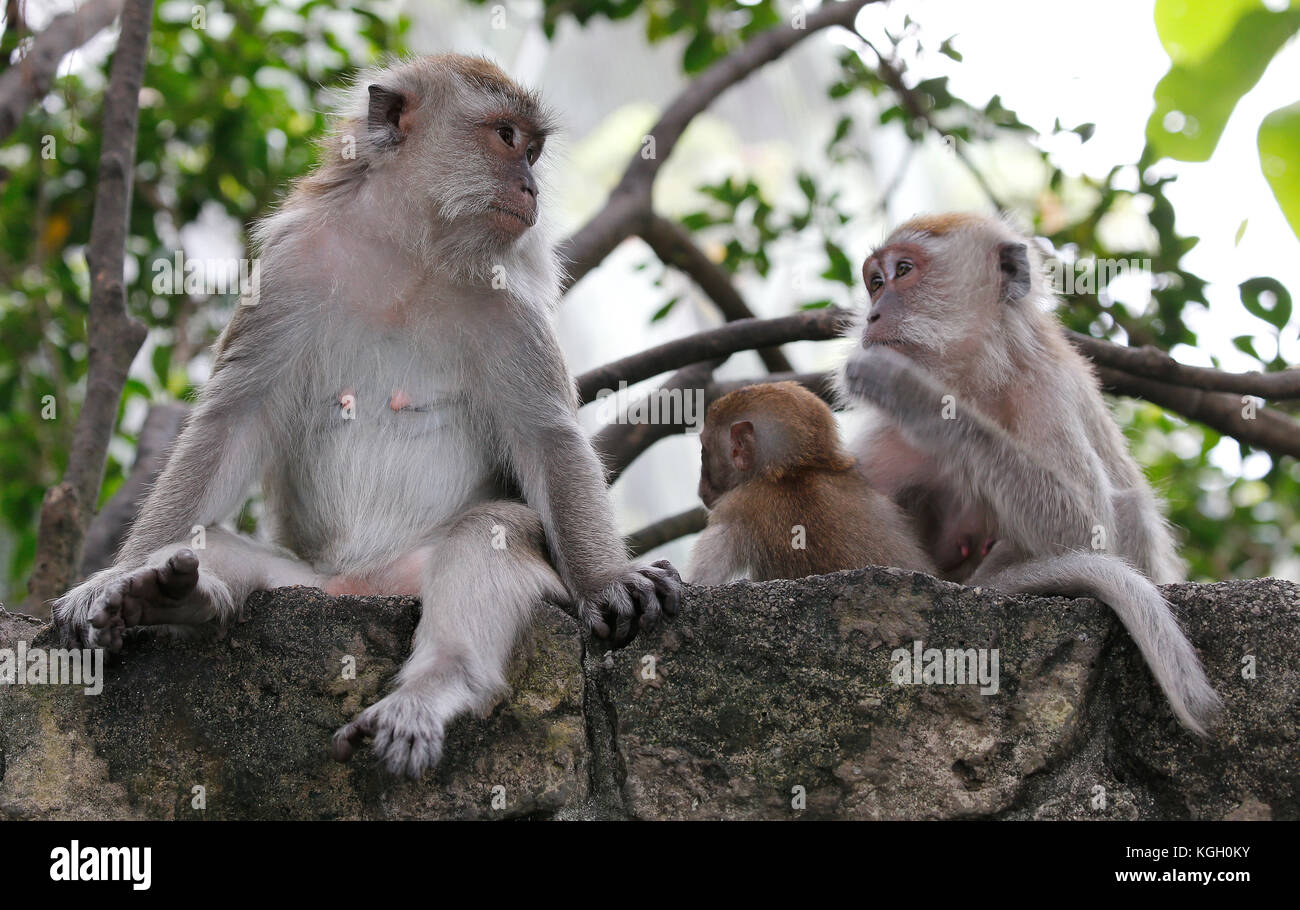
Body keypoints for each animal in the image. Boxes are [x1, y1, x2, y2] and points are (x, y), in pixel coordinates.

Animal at [51, 54, 681, 777]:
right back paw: (170, 594)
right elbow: (232, 419)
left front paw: (606, 580)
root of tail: (357, 587)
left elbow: (546, 438)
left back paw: (430, 690)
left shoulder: (511, 302)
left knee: (491, 532)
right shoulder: (289, 269)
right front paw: (113, 576)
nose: (529, 188)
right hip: (305, 583)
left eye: (534, 150)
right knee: (218, 547)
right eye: (506, 137)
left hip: (412, 578)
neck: (411, 249)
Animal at [840, 212, 1221, 735]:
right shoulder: (888, 439)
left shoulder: (1045, 389)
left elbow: (1087, 527)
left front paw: (921, 401)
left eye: (902, 271)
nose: (873, 315)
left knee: (1128, 508)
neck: (977, 379)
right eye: (875, 283)